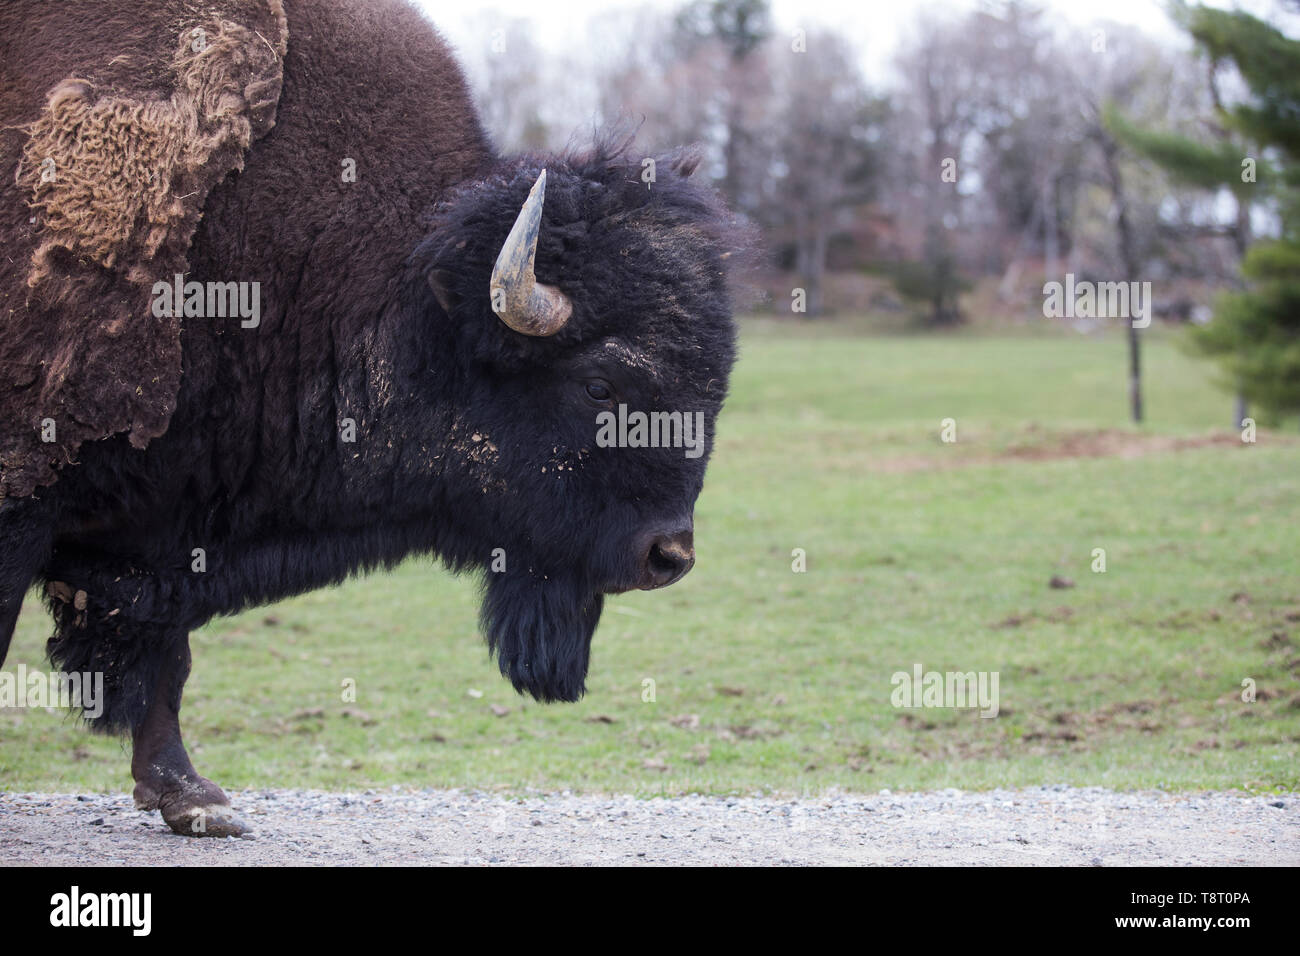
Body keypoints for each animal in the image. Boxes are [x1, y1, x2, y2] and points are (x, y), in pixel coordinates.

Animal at [0, 0, 745, 836]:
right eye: (599, 384)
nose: (668, 556)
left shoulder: (162, 530)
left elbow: (169, 655)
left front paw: (194, 799)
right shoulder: (23, 508)